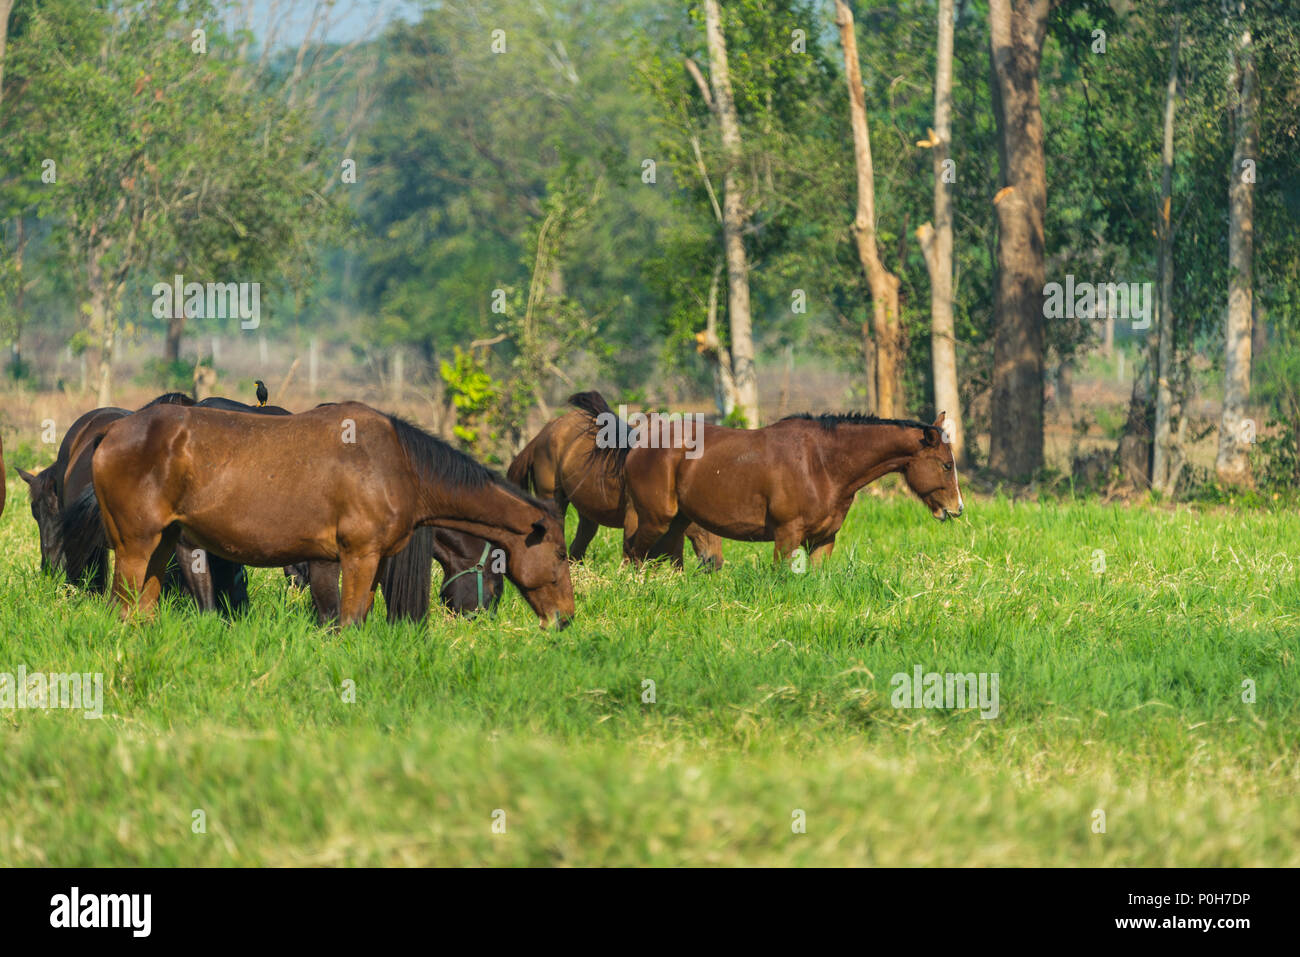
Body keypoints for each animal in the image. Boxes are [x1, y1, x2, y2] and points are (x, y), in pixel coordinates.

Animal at [90, 401, 572, 626]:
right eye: (560, 555)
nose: (565, 618)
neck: (396, 464)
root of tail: (115, 429)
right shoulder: (355, 557)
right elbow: (348, 620)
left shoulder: (368, 562)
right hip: (135, 548)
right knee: (122, 606)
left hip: (163, 545)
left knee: (141, 608)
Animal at [508, 410, 724, 569]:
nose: (715, 562)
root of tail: (547, 429)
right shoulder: (635, 517)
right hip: (554, 500)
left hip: (588, 512)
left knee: (579, 545)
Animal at [567, 391, 964, 568]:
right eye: (946, 465)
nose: (958, 509)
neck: (822, 464)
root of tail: (638, 440)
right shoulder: (787, 536)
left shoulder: (823, 541)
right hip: (654, 519)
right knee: (634, 555)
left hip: (675, 523)